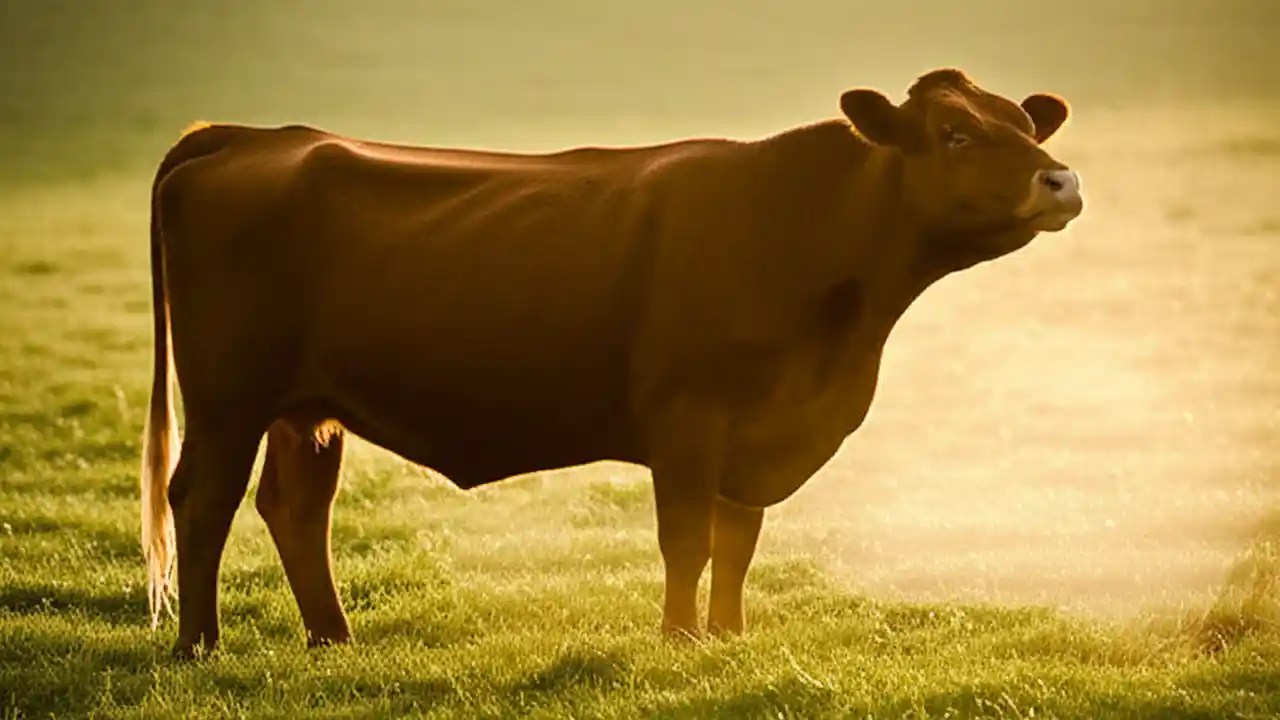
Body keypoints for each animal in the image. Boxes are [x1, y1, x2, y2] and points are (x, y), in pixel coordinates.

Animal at [139, 68, 1083, 657]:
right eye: (955, 133)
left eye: (1025, 125)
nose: (1063, 181)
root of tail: (253, 136)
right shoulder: (688, 415)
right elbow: (688, 539)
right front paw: (680, 639)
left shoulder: (759, 427)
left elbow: (738, 540)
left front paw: (729, 637)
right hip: (227, 398)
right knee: (203, 499)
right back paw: (199, 645)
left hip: (305, 406)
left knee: (296, 507)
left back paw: (333, 638)